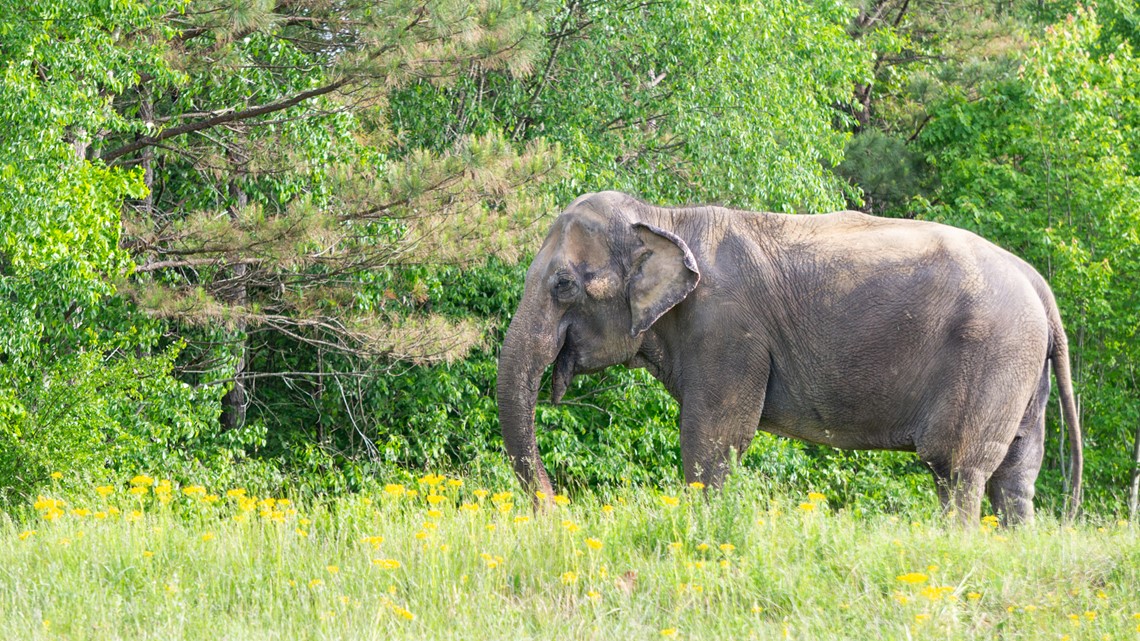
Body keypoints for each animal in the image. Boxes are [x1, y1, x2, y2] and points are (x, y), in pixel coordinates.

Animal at [496, 191, 1083, 525]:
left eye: (563, 284)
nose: (558, 513)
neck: (662, 218)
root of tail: (1038, 283)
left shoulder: (729, 331)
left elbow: (713, 442)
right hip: (1022, 369)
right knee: (1015, 477)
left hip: (990, 355)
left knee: (957, 469)